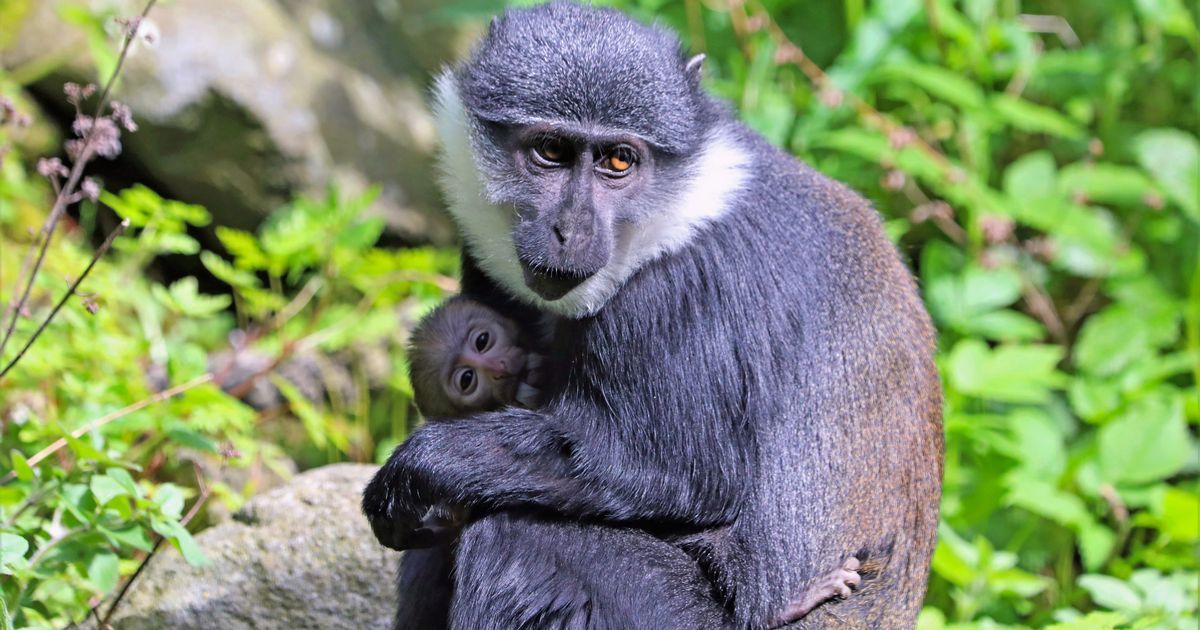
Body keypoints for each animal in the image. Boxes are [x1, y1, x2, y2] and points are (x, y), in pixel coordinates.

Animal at [364, 3, 943, 628]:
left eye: (619, 160)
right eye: (550, 150)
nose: (570, 230)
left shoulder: (678, 291)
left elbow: (681, 475)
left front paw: (424, 464)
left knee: (519, 531)